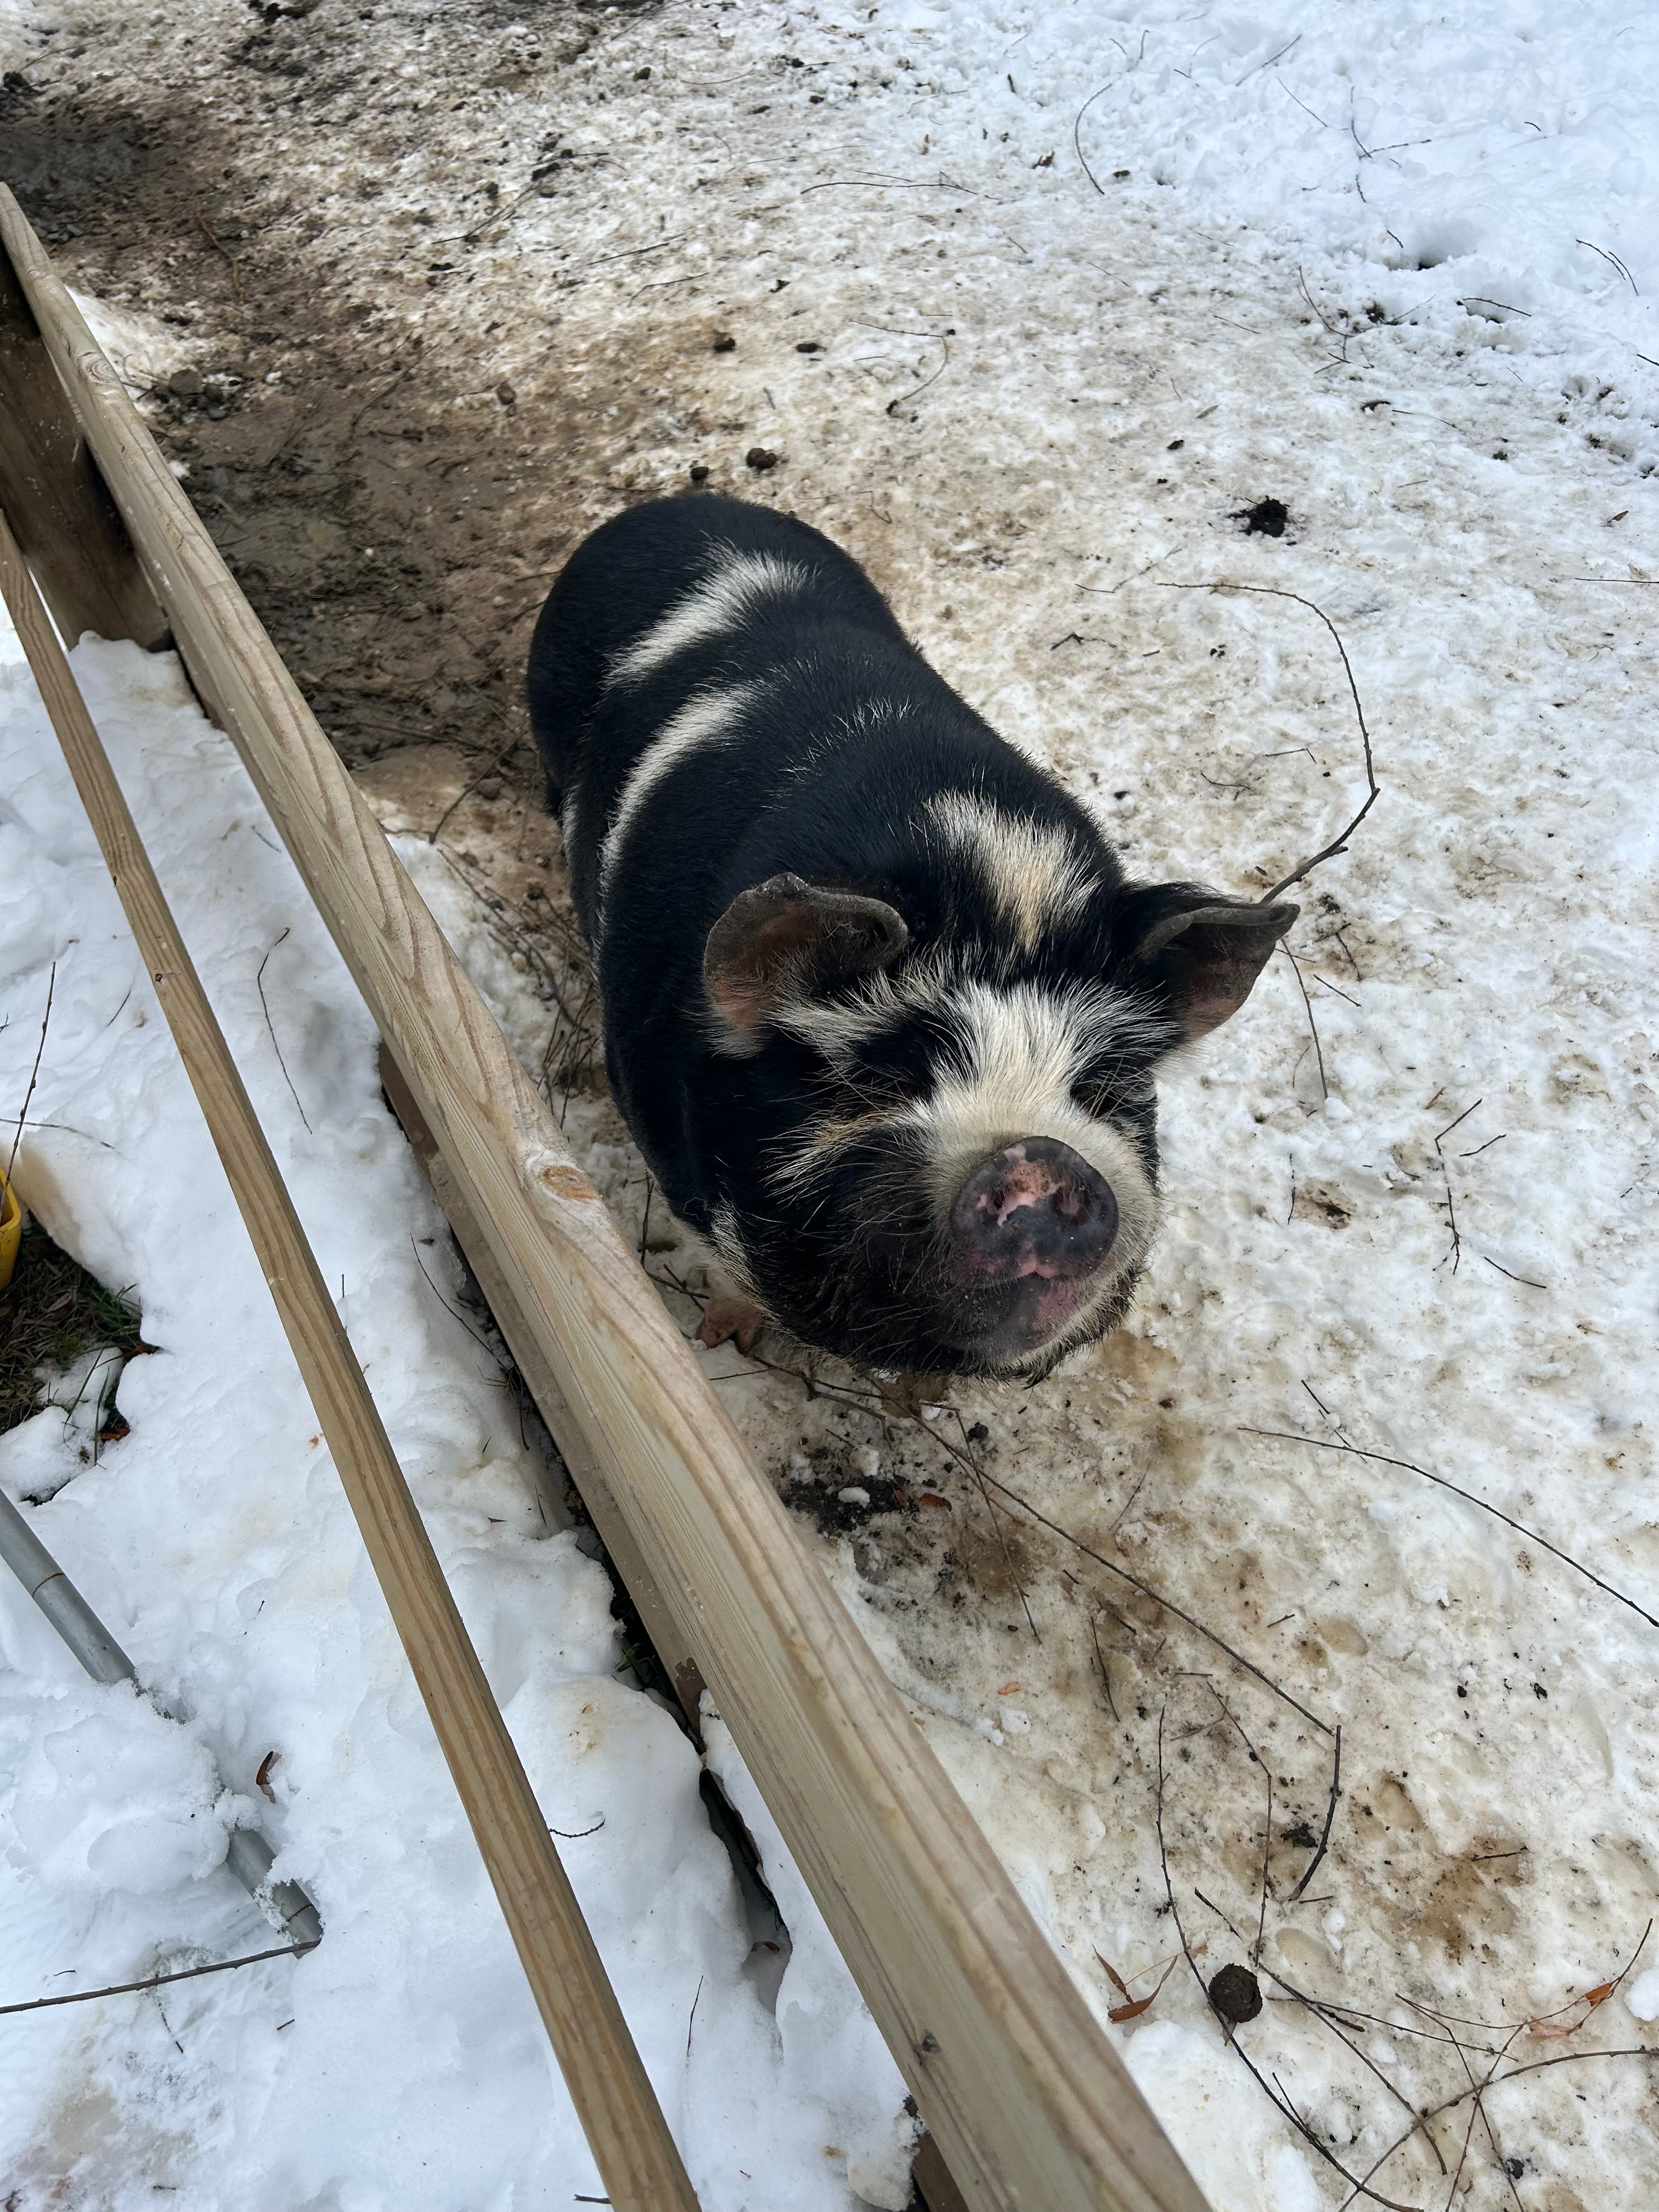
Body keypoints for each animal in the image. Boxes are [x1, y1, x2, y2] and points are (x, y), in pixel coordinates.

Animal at [526, 494, 1295, 1380]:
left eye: (1101, 1088)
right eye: (879, 1081)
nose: (1045, 1159)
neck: (991, 882)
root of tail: (680, 504)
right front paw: (729, 1338)